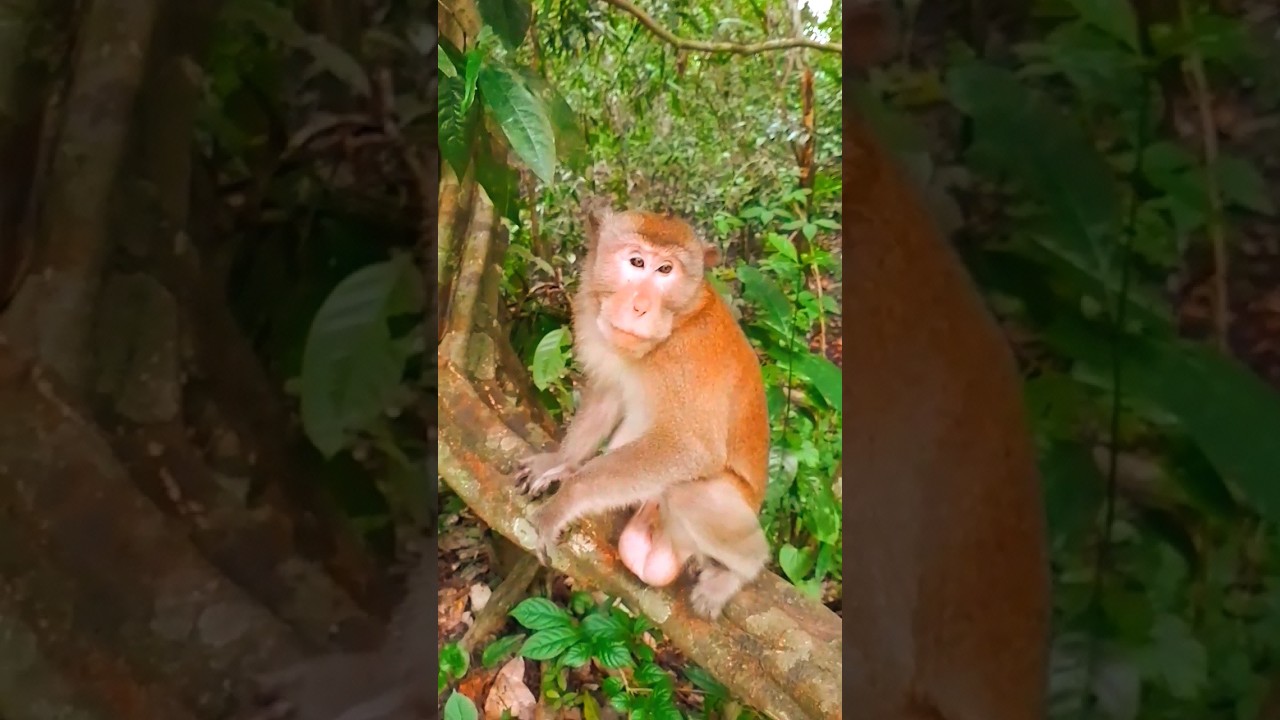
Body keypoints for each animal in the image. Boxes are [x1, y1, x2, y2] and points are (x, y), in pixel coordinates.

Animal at [514, 202, 771, 619]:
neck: (678, 322)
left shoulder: (687, 359)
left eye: (666, 270)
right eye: (636, 262)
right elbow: (608, 393)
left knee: (690, 495)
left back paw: (737, 573)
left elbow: (690, 449)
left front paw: (566, 499)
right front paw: (562, 462)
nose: (639, 307)